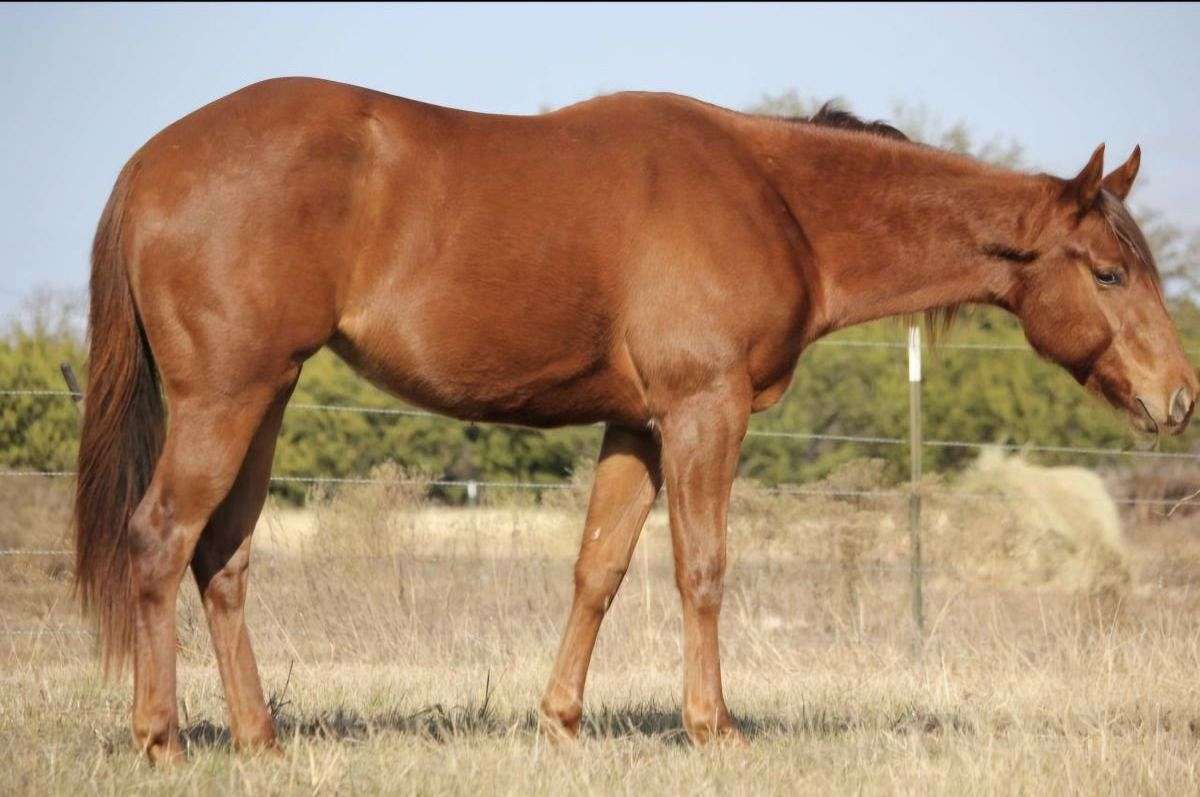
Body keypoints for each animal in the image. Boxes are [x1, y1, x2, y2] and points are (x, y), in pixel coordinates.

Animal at [73, 77, 1197, 762]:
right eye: (1108, 271)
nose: (1179, 396)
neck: (775, 197)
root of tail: (147, 164)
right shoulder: (704, 411)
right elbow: (701, 567)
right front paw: (714, 724)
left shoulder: (639, 428)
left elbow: (598, 569)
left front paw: (561, 720)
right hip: (226, 399)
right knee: (160, 539)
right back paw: (162, 736)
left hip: (265, 397)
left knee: (223, 557)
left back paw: (258, 736)